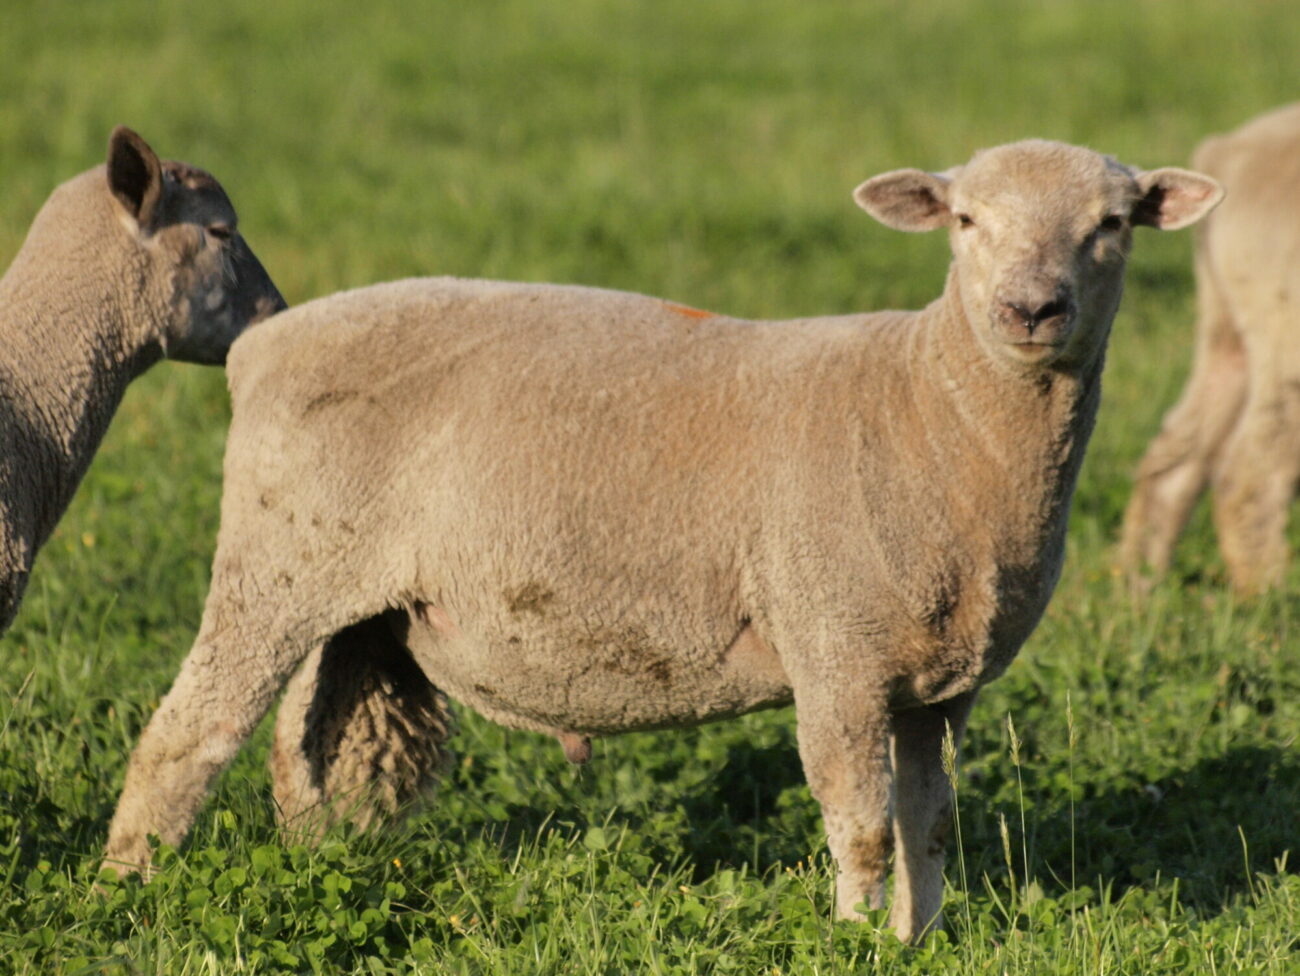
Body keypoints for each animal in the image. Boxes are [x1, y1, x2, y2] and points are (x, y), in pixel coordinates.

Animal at [102, 140, 1221, 943]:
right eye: (965, 220)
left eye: (1112, 223)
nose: (1032, 308)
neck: (931, 409)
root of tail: (263, 344)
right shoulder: (837, 654)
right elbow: (863, 830)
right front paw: (859, 942)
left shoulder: (938, 684)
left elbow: (931, 825)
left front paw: (923, 940)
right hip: (273, 565)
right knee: (184, 738)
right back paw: (124, 890)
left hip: (357, 601)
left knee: (303, 750)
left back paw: (313, 869)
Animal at [1120, 104, 1300, 595]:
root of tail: (1229, 151)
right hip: (1285, 319)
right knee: (1251, 472)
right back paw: (1270, 598)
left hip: (1227, 327)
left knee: (1174, 457)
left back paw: (1140, 587)